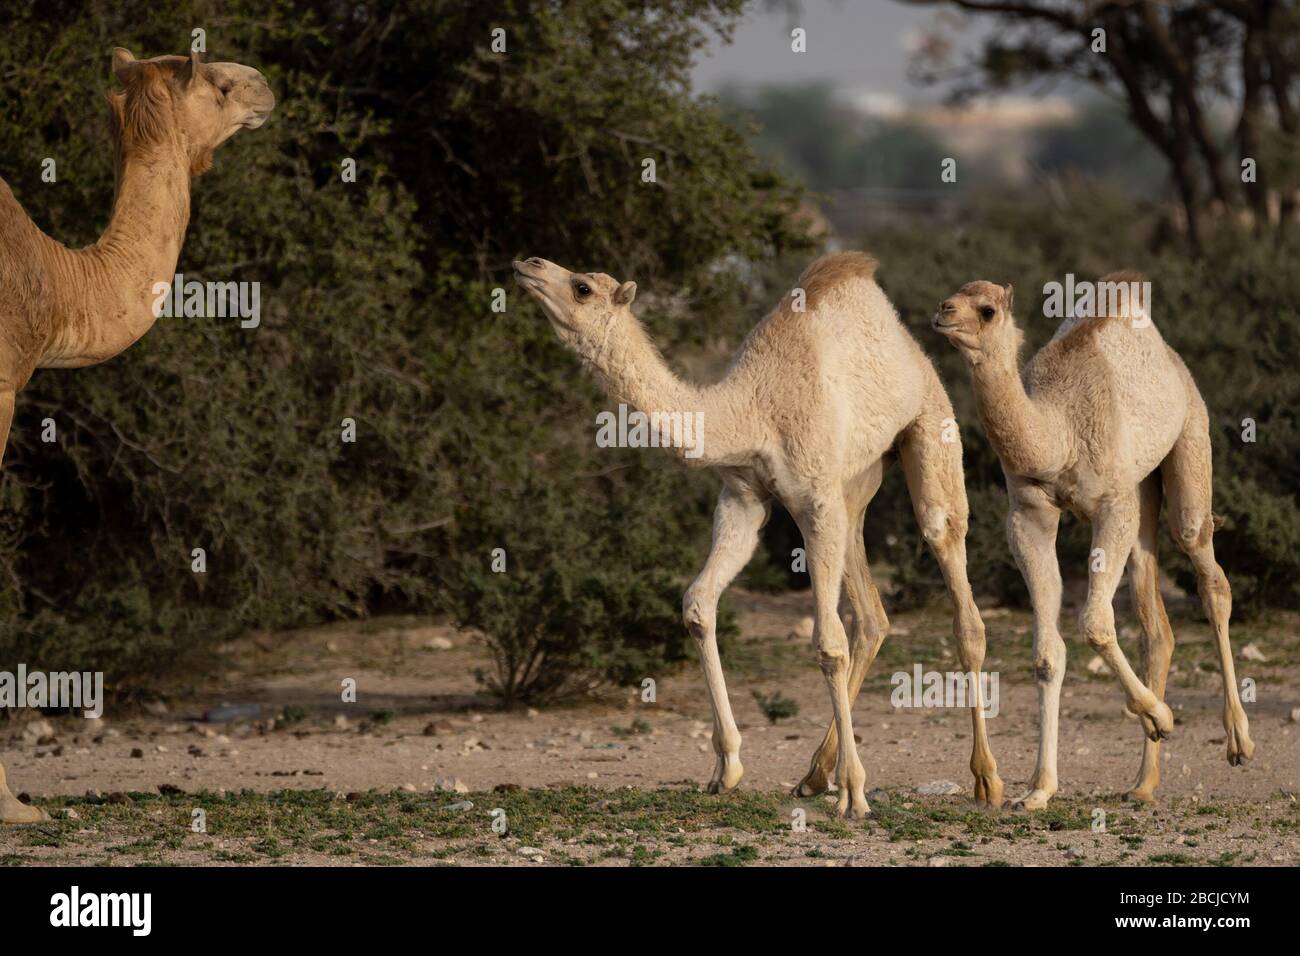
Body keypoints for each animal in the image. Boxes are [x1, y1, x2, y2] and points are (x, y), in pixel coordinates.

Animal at [514, 252, 1004, 817]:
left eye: (582, 287)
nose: (528, 265)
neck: (751, 409)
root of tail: (909, 344)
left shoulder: (814, 498)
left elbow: (828, 643)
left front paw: (855, 793)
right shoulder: (744, 497)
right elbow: (698, 604)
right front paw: (726, 768)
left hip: (929, 427)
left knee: (950, 564)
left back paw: (987, 780)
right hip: (855, 488)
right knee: (873, 618)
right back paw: (814, 774)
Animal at [932, 274, 1254, 809]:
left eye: (987, 310)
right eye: (954, 295)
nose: (943, 312)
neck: (1058, 432)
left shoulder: (1112, 504)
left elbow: (1095, 623)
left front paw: (1163, 716)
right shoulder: (1029, 514)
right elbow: (1048, 653)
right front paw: (1038, 789)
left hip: (1191, 439)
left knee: (1210, 574)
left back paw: (1238, 742)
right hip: (1143, 493)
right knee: (1156, 626)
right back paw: (1143, 783)